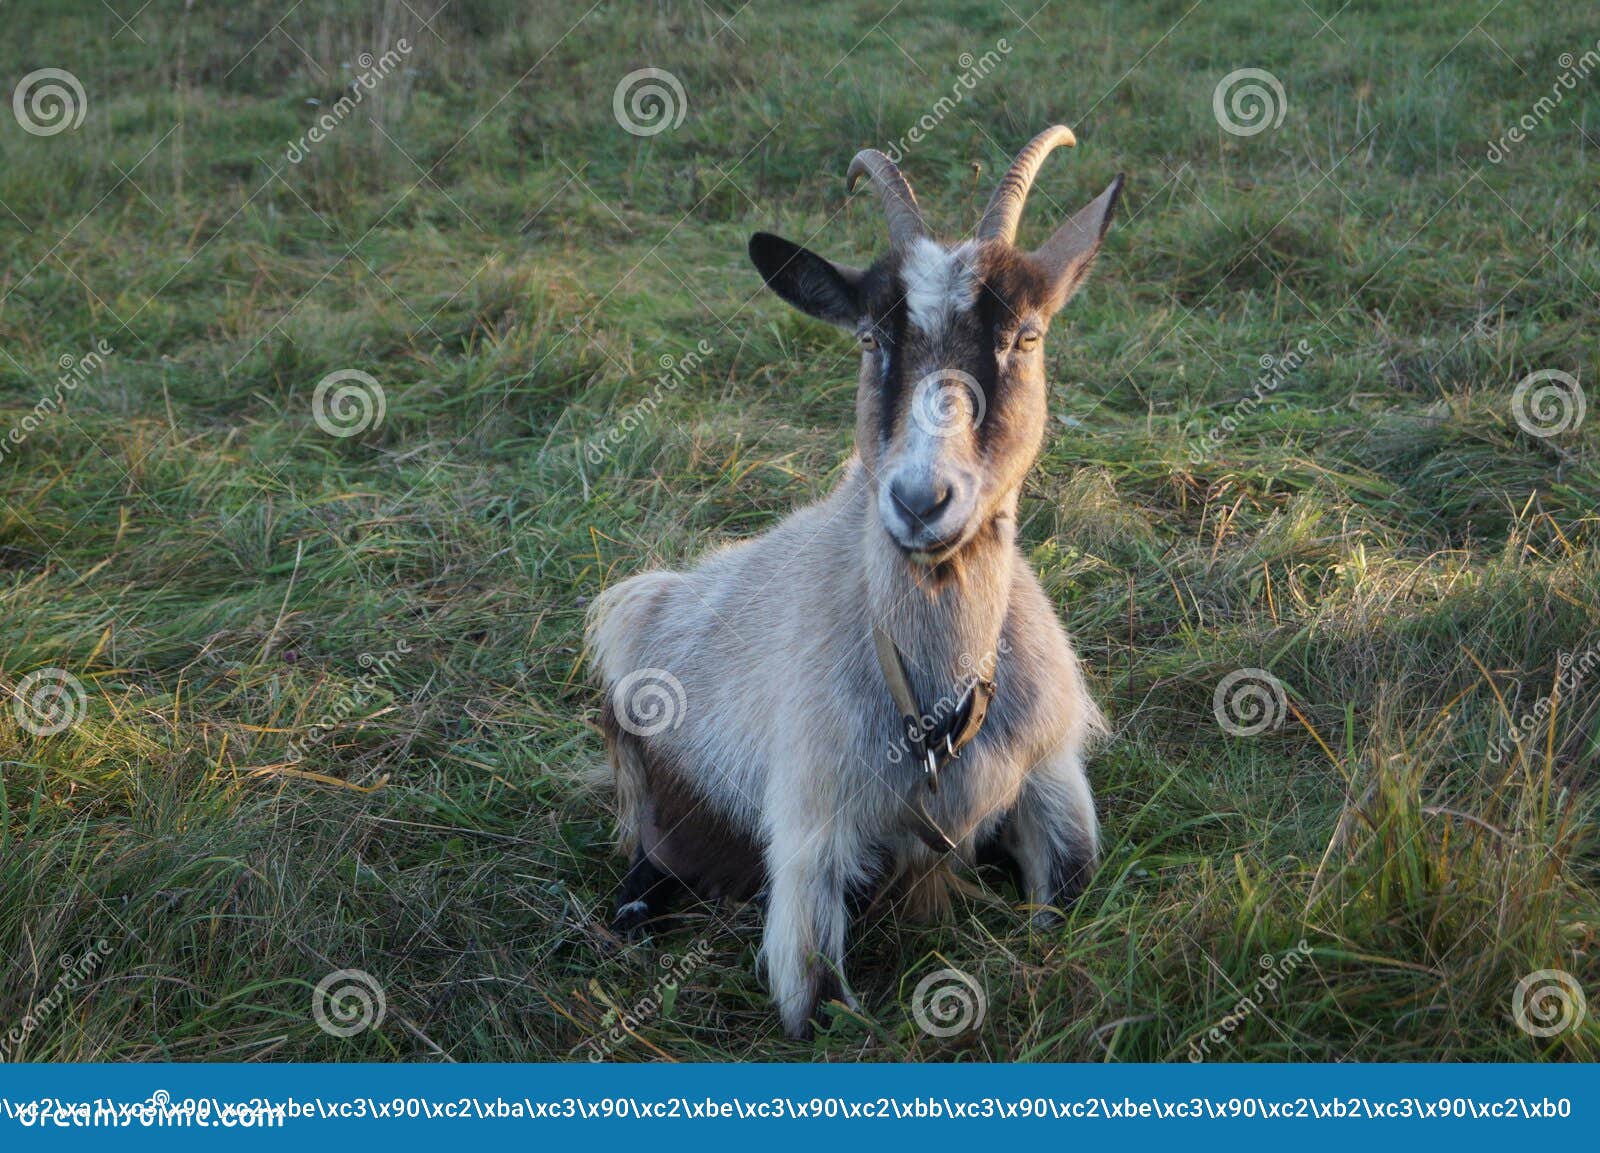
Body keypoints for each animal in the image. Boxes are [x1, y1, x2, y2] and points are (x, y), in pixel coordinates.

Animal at [587, 126, 1122, 1040]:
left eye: (1026, 335)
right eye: (872, 338)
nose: (919, 499)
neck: (937, 719)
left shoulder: (1055, 784)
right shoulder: (810, 852)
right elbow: (828, 1013)